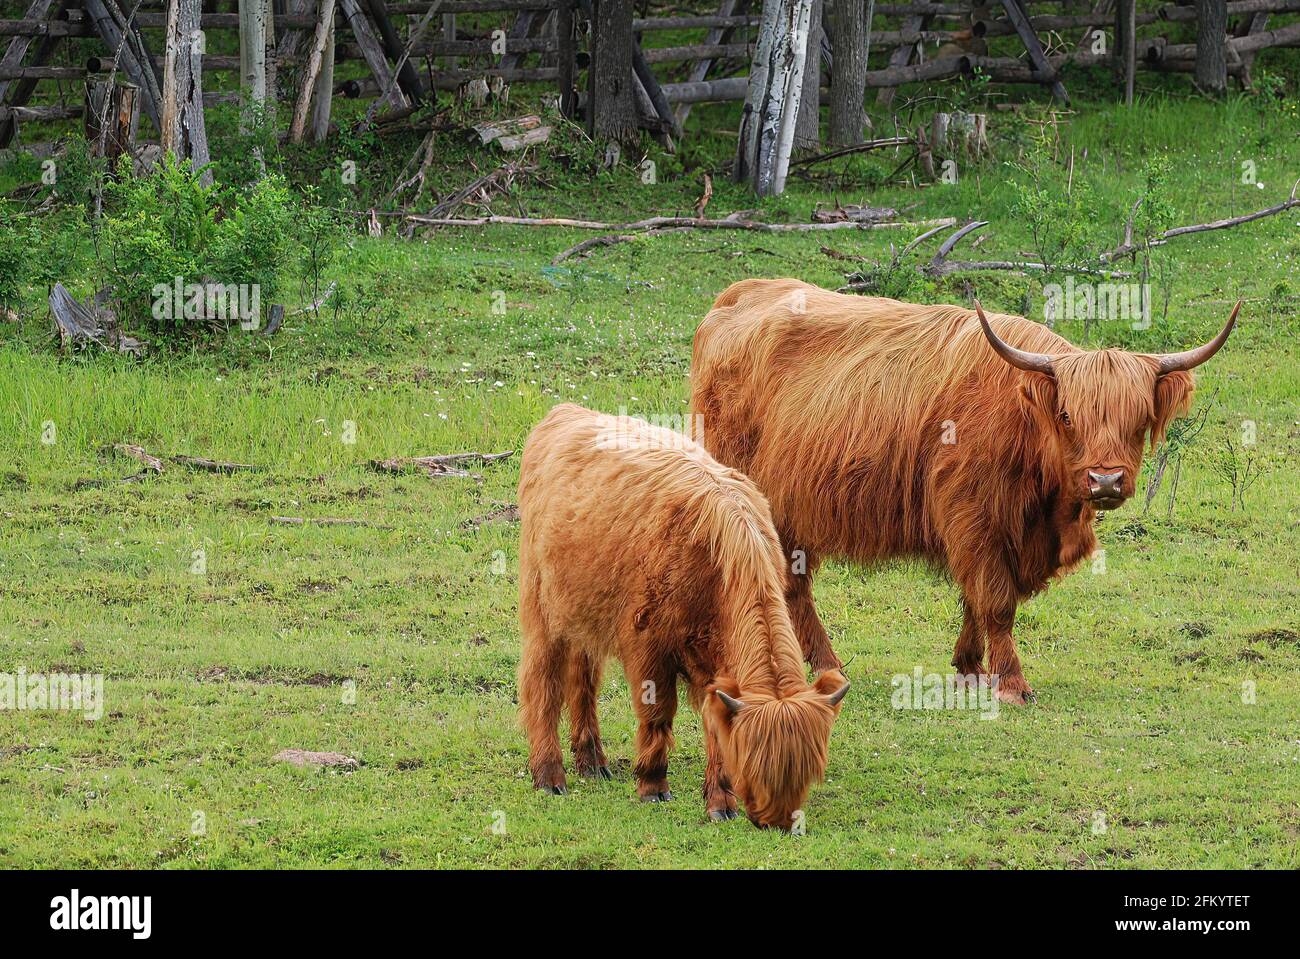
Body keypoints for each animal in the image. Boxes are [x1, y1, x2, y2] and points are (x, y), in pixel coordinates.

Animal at [517, 403, 850, 829]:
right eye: (758, 766)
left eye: (808, 772)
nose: (777, 823)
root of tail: (566, 412)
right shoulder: (647, 644)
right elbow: (657, 713)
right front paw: (653, 785)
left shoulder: (716, 665)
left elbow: (713, 725)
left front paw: (720, 802)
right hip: (543, 609)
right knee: (542, 683)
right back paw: (549, 776)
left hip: (584, 611)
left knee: (583, 680)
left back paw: (592, 762)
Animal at [690, 279, 1238, 704]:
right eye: (1067, 416)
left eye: (1140, 419)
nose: (1105, 481)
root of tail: (739, 294)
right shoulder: (973, 515)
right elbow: (995, 600)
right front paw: (1011, 683)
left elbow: (977, 599)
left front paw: (970, 668)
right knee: (786, 583)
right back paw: (826, 664)